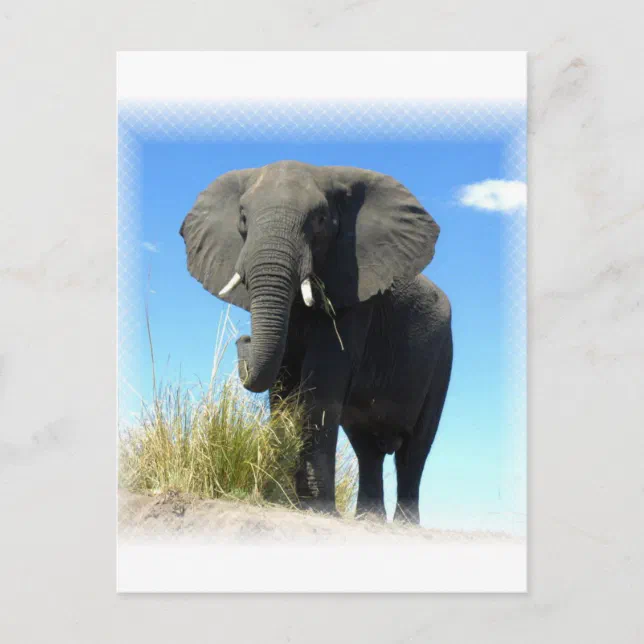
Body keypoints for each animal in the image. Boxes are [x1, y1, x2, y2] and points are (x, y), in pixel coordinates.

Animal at [179, 160, 452, 523]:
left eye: (321, 220)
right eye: (242, 218)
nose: (244, 337)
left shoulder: (355, 293)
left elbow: (321, 381)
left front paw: (315, 508)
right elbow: (282, 383)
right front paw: (284, 499)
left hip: (442, 355)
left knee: (414, 449)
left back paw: (404, 526)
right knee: (367, 448)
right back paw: (367, 519)